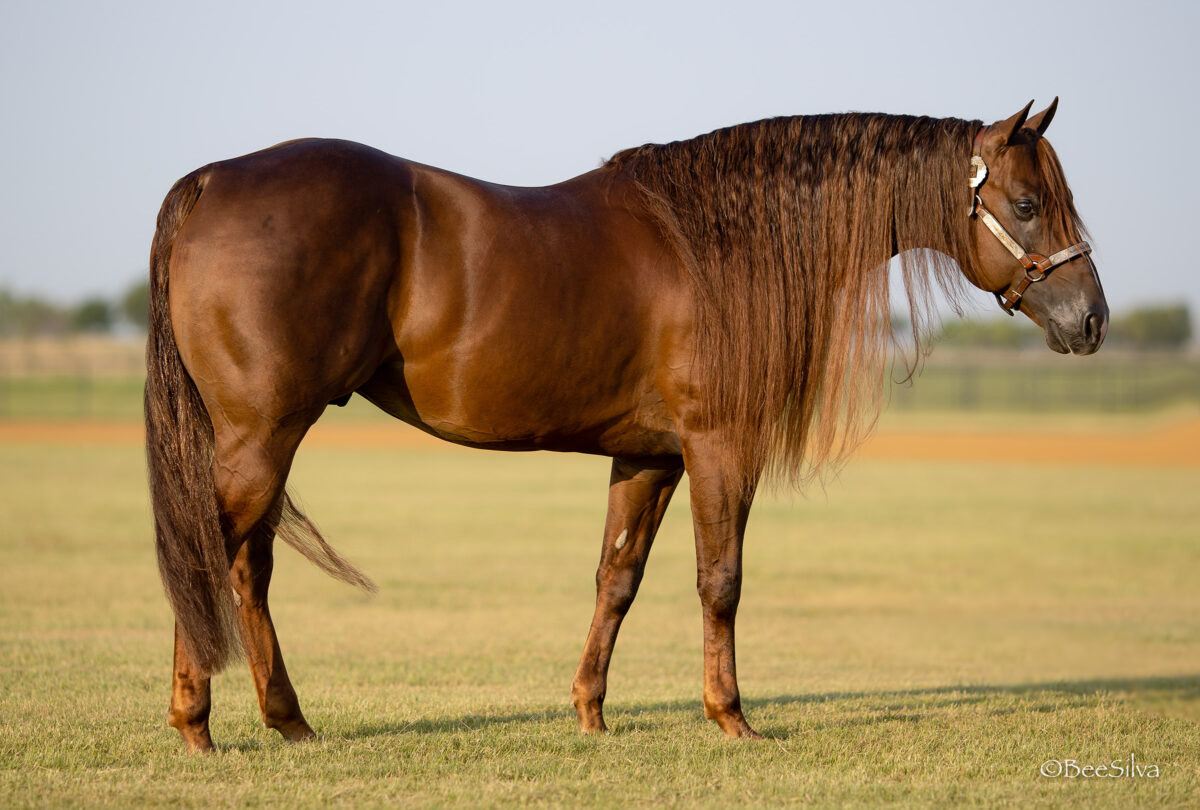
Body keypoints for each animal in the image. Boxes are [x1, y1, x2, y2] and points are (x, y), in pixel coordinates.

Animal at [146, 99, 1107, 752]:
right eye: (1027, 205)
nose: (1092, 319)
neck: (716, 243)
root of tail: (215, 179)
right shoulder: (720, 447)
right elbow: (721, 580)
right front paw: (732, 718)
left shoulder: (648, 458)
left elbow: (617, 579)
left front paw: (591, 712)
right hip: (263, 434)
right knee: (211, 555)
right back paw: (198, 721)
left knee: (245, 566)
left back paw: (287, 721)